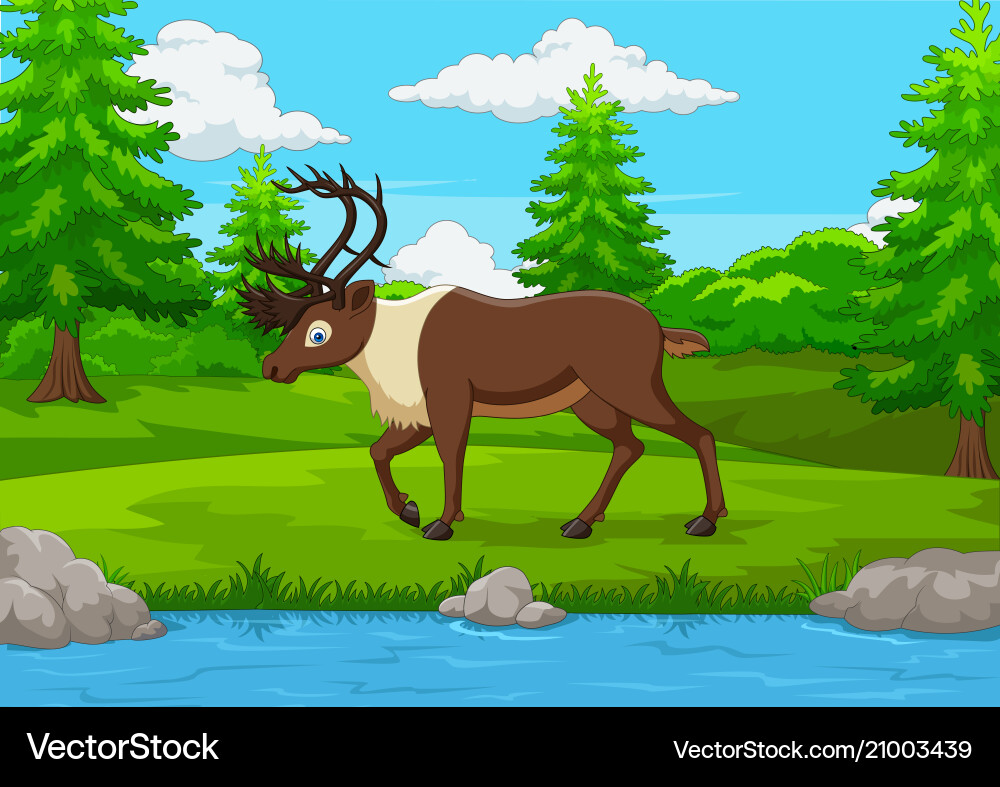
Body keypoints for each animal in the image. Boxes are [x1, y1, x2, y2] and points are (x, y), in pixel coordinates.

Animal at [237, 166, 728, 541]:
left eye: (318, 333)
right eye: (295, 323)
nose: (272, 366)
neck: (392, 349)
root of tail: (657, 327)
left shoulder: (449, 396)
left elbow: (450, 455)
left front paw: (440, 523)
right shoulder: (419, 410)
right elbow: (378, 450)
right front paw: (409, 509)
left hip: (628, 383)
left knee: (698, 432)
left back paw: (704, 520)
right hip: (591, 399)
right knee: (630, 444)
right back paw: (580, 522)